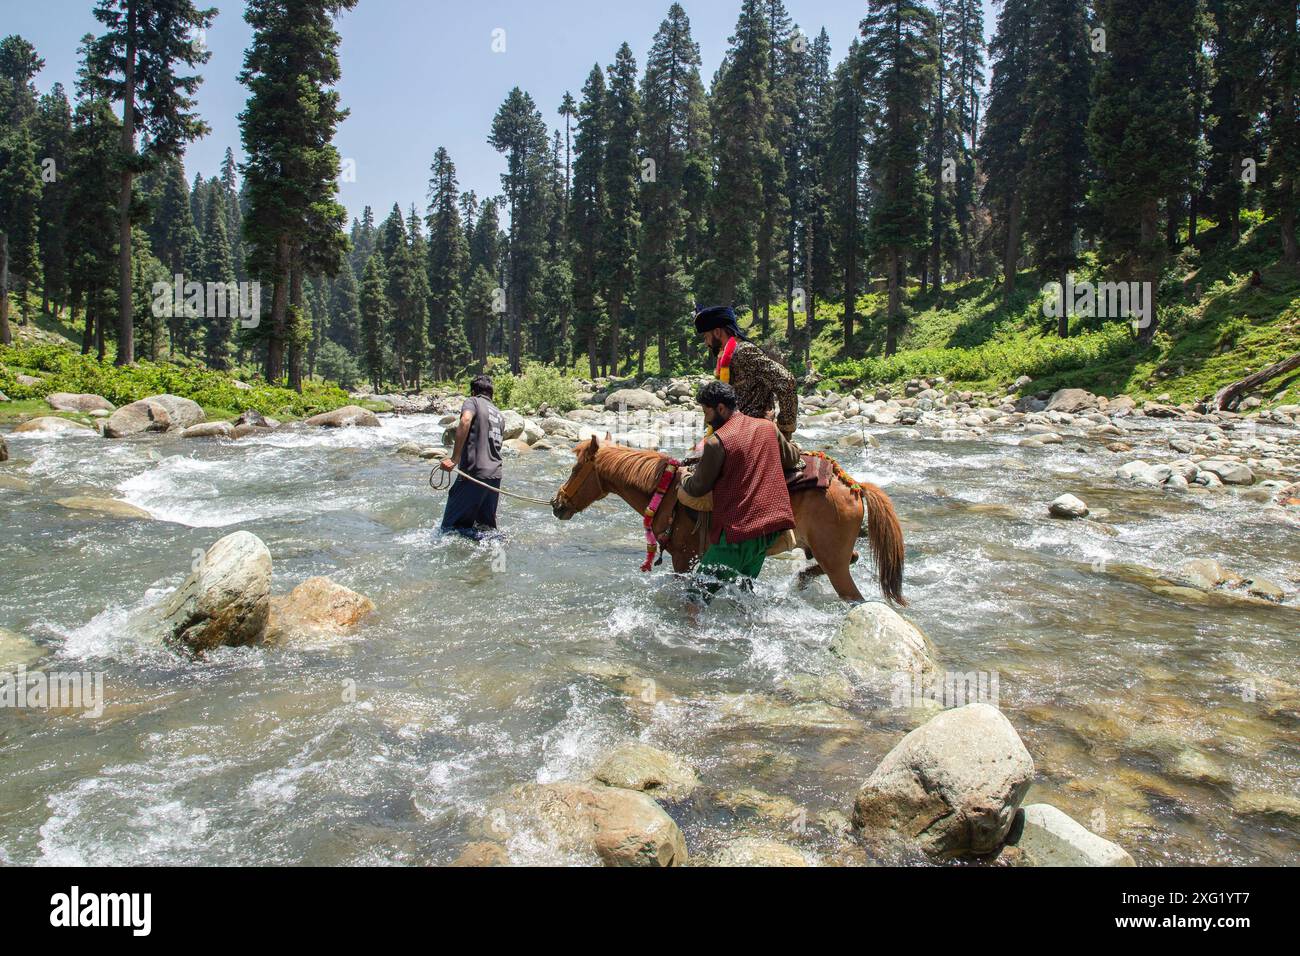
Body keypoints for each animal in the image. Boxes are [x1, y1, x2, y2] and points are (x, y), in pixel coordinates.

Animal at [550, 435, 906, 605]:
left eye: (576, 468)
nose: (557, 504)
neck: (666, 493)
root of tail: (856, 486)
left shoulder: (684, 559)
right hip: (826, 551)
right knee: (851, 558)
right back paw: (801, 580)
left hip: (834, 561)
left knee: (853, 595)